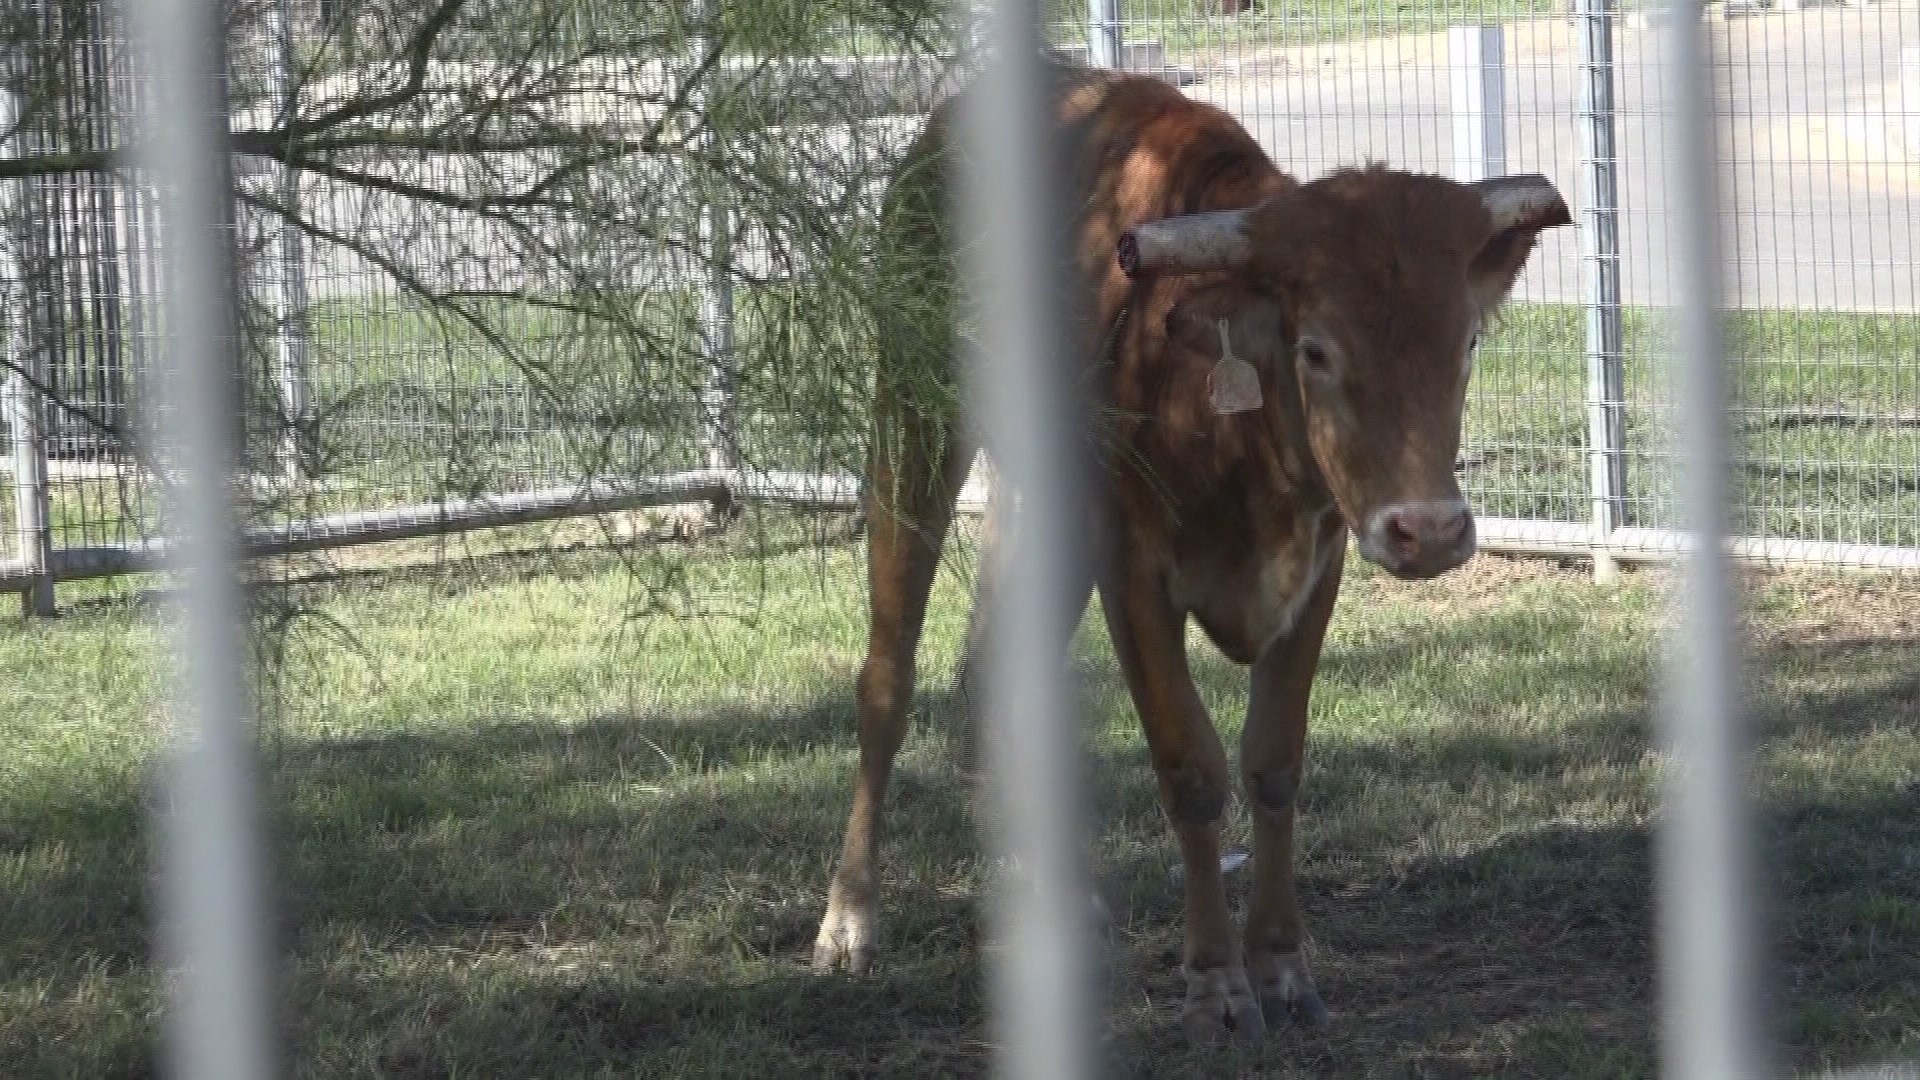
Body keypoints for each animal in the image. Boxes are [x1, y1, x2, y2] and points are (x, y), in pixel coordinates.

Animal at [811, 59, 1572, 1044]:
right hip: (913, 419)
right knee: (887, 679)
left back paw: (1057, 897)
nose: (1429, 530)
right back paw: (849, 918)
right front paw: (1217, 983)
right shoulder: (1134, 576)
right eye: (1315, 349)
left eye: (1468, 341)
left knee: (991, 679)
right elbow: (1193, 772)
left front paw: (1282, 969)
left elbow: (1275, 763)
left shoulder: (1316, 572)